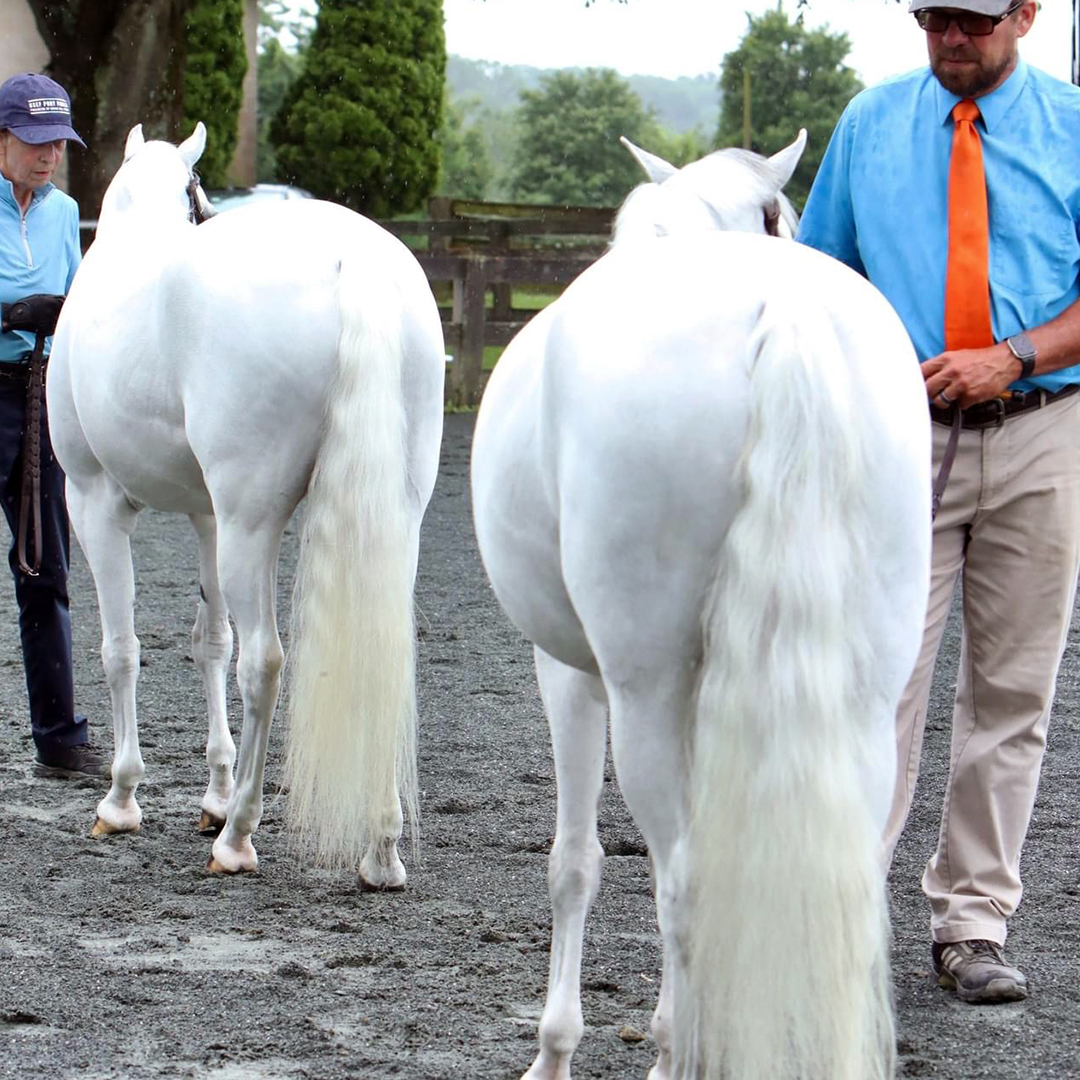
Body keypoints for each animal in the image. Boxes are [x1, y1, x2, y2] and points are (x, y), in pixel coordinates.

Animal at [46, 123, 445, 885]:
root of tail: (355, 259)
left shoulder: (95, 503)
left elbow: (121, 648)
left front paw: (121, 800)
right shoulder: (206, 517)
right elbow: (211, 643)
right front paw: (212, 791)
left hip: (251, 525)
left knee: (265, 661)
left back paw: (237, 838)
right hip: (387, 520)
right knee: (377, 654)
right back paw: (379, 853)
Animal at [471, 134, 931, 1079]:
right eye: (781, 214)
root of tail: (782, 309)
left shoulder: (570, 670)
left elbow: (575, 862)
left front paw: (559, 1050)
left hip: (644, 696)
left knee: (684, 884)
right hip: (867, 701)